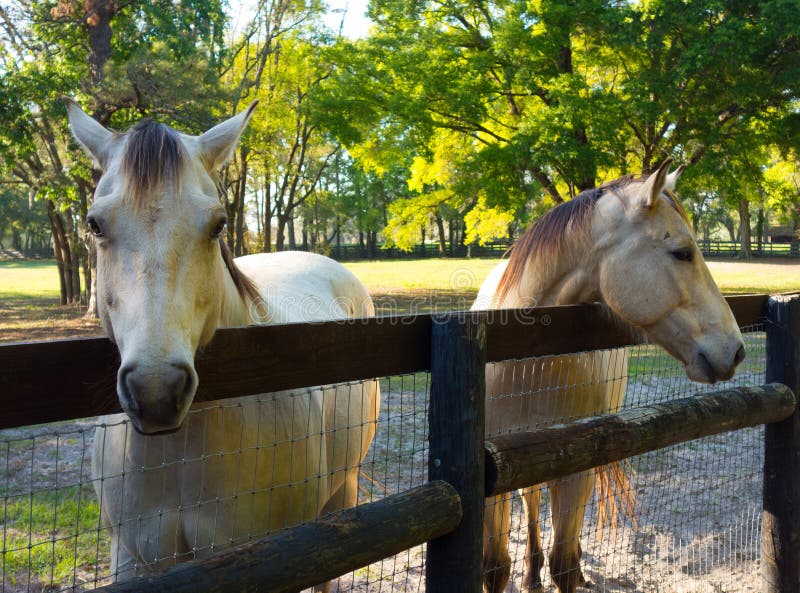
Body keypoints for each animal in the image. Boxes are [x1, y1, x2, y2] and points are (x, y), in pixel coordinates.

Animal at [472, 159, 745, 593]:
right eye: (682, 252)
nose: (736, 350)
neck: (522, 359)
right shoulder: (491, 480)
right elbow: (495, 567)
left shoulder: (575, 470)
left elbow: (563, 564)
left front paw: (569, 569)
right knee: (531, 499)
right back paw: (530, 573)